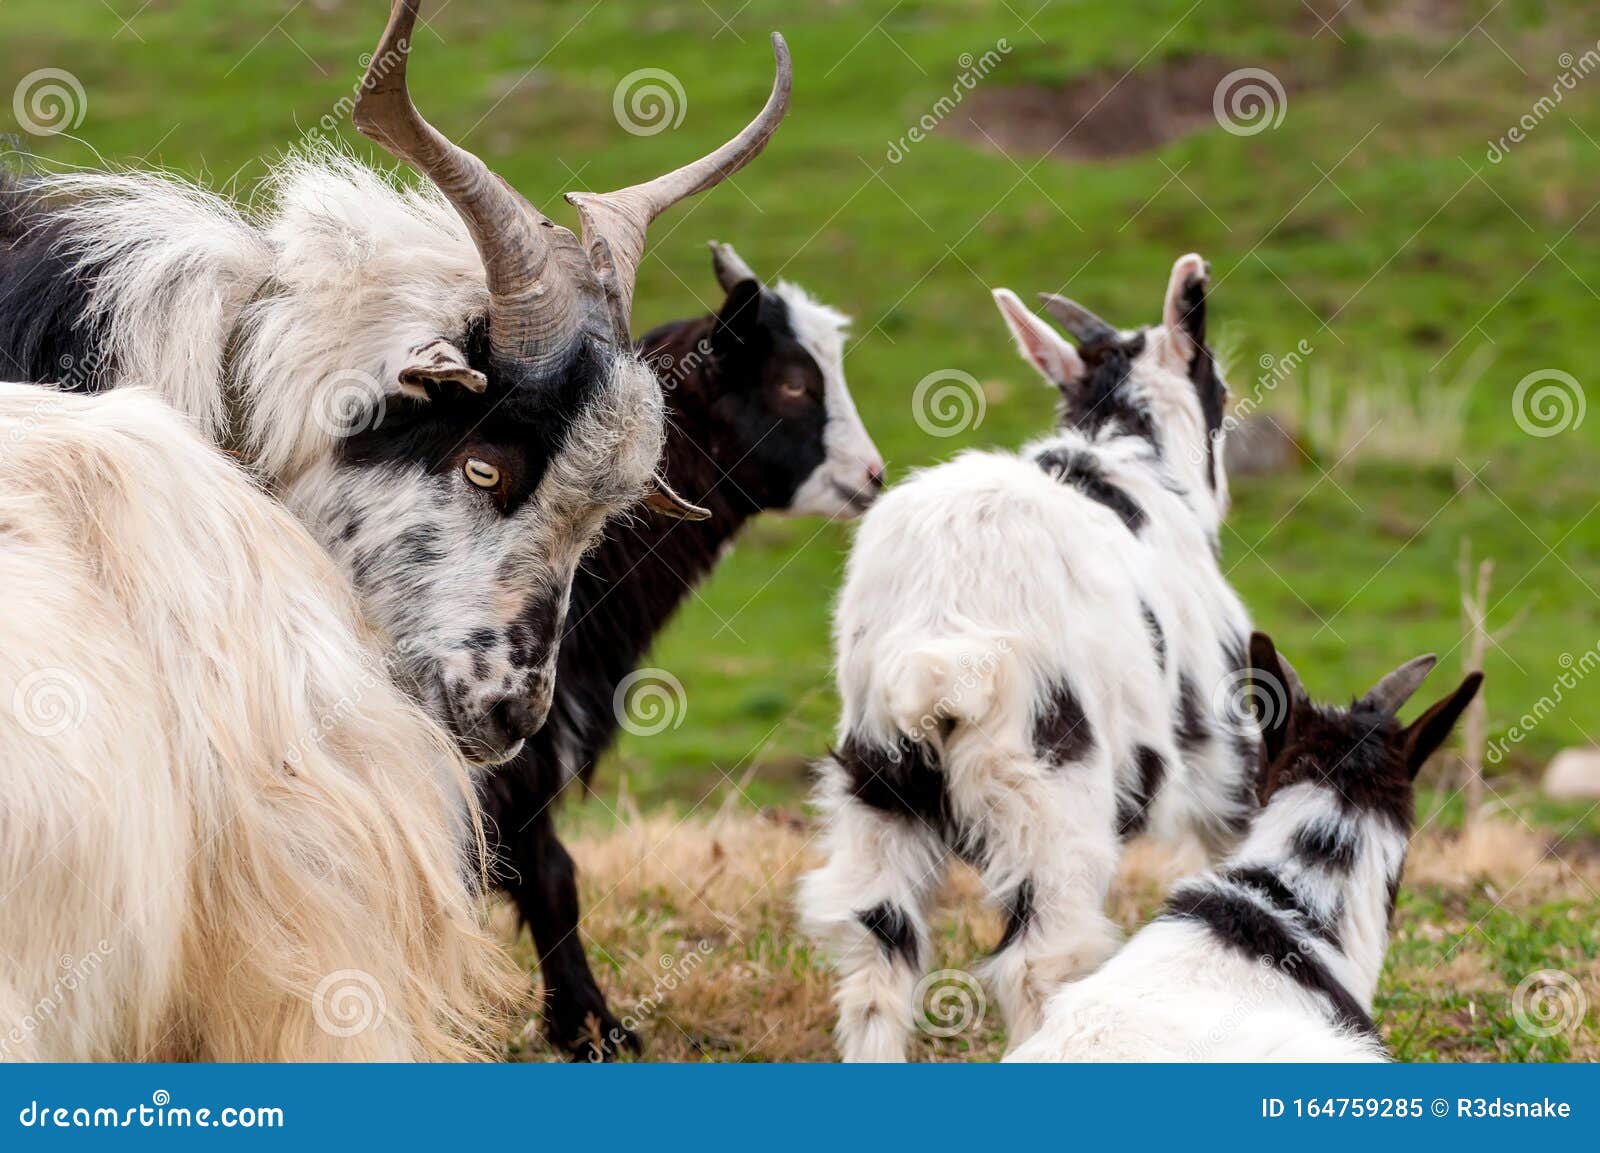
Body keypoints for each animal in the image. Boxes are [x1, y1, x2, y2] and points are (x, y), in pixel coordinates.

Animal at [799, 254, 1260, 1061]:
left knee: (873, 960)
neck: (1136, 466)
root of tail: (941, 638)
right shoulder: (1225, 753)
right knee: (1041, 966)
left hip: (874, 788)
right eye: (1222, 390)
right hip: (1048, 794)